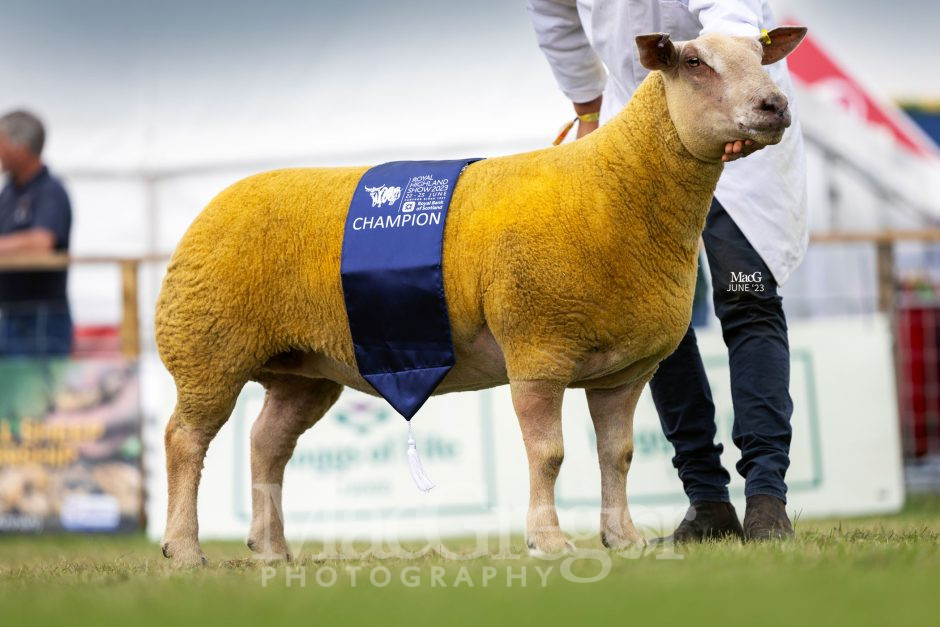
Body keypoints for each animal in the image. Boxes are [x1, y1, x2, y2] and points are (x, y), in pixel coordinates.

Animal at [156, 28, 807, 565]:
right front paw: (547, 541)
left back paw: (269, 548)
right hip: (207, 349)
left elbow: (615, 455)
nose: (775, 107)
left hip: (303, 369)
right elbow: (549, 454)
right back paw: (184, 549)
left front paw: (621, 538)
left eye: (761, 57)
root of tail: (219, 201)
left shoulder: (622, 372)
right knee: (184, 441)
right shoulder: (538, 347)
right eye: (694, 62)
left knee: (267, 445)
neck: (616, 185)